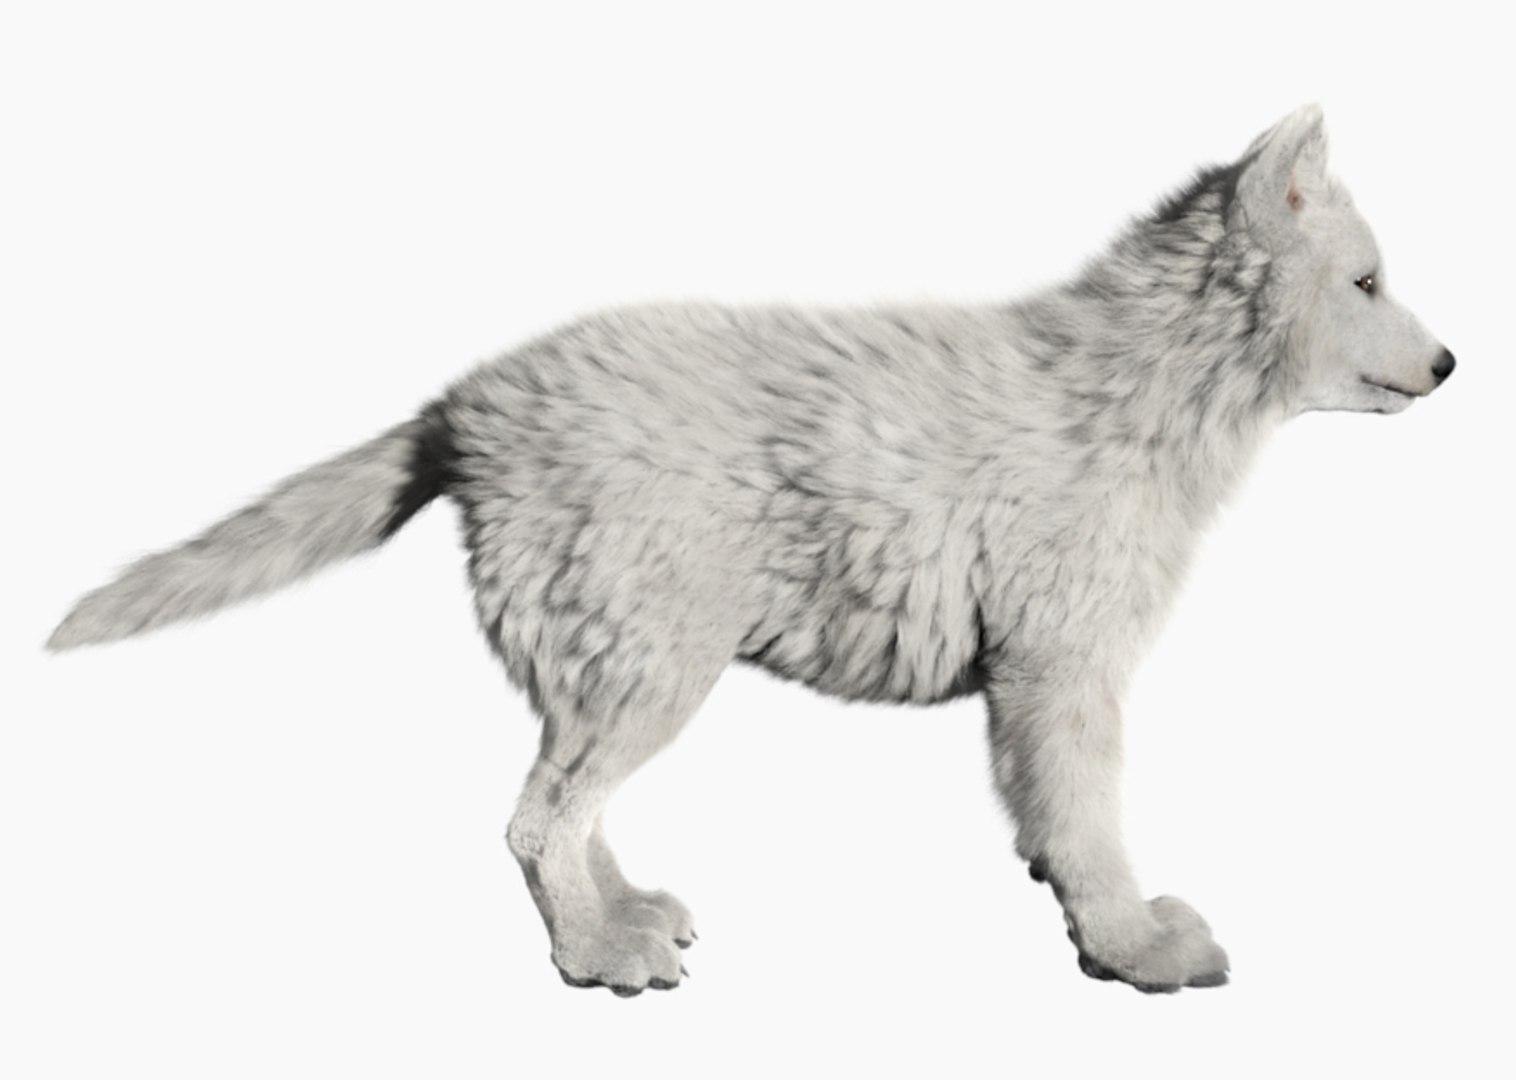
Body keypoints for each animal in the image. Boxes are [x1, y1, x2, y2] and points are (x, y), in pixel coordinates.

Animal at [48, 106, 1453, 995]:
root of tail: (471, 400)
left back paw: (624, 916)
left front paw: (1068, 900)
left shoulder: (1028, 684)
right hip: (652, 667)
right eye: (1368, 283)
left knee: (562, 815)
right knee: (534, 822)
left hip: (613, 672)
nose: (1449, 364)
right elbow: (1095, 820)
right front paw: (1132, 949)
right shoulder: (1061, 668)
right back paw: (597, 961)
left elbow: (1049, 816)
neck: (1139, 393)